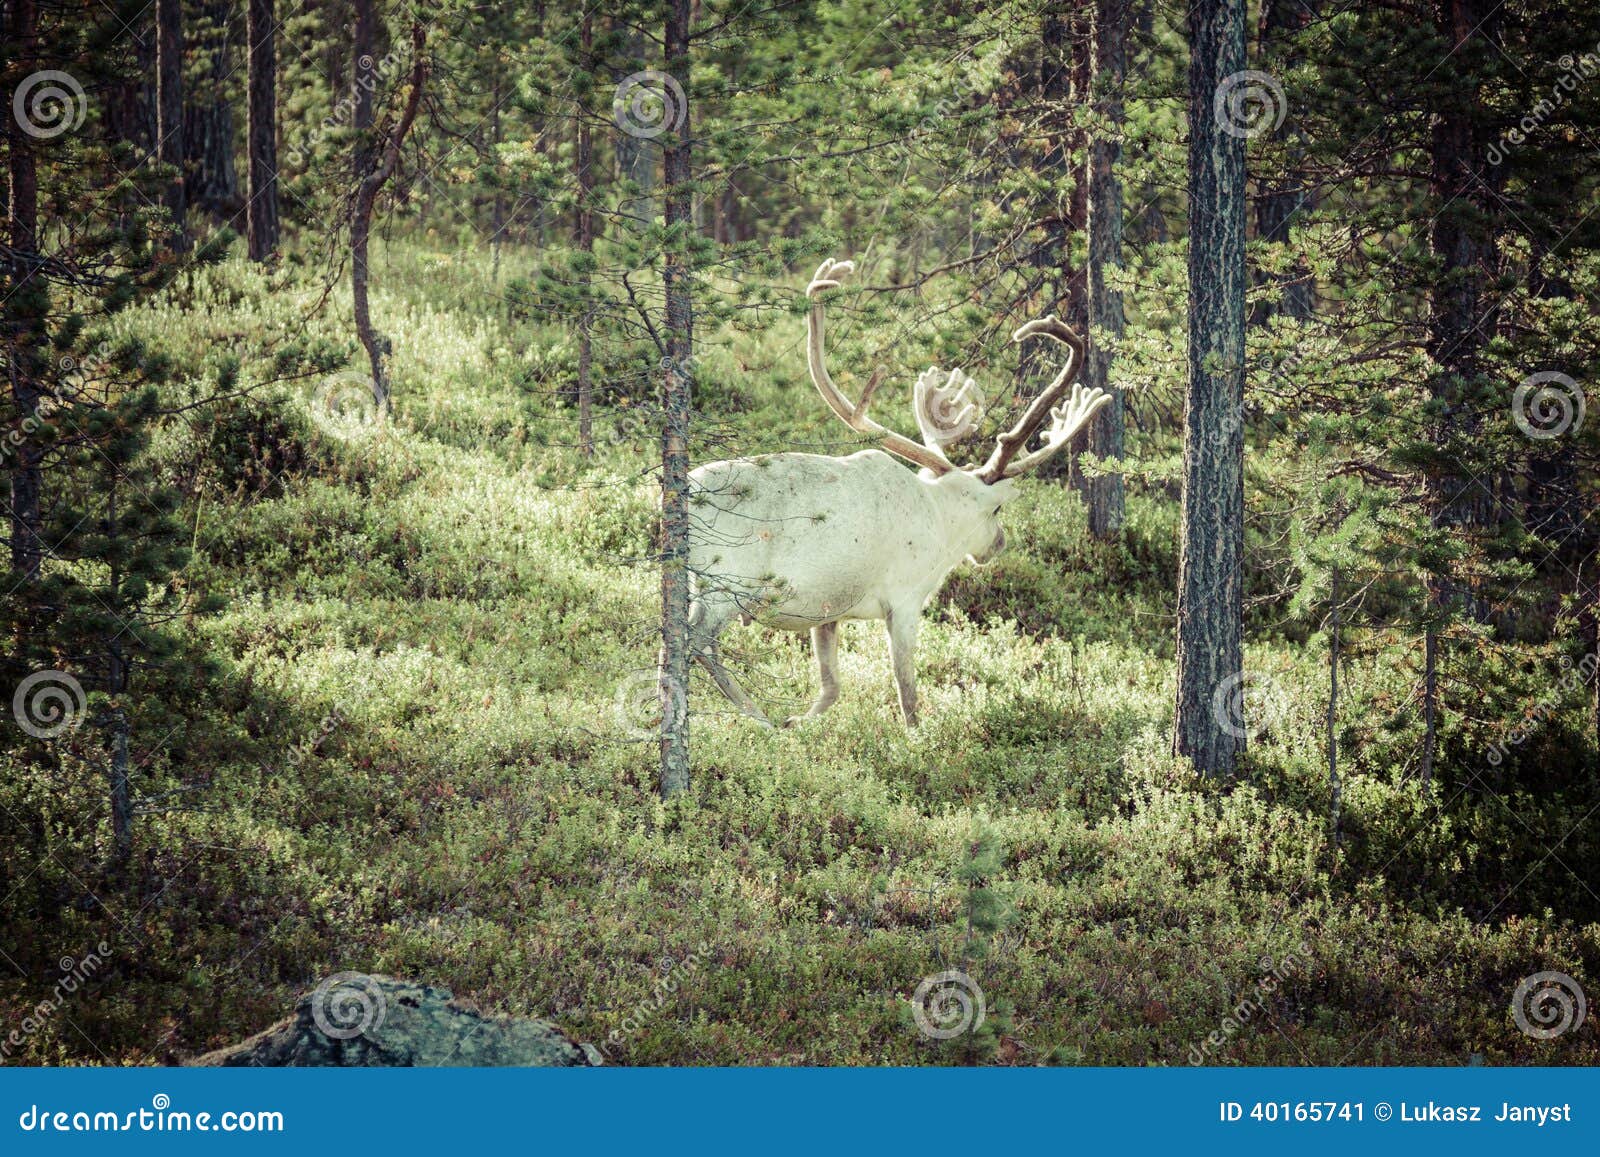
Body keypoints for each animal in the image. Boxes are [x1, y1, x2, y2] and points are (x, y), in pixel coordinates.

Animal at [684, 257, 1110, 729]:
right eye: (997, 510)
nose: (998, 545)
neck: (942, 520)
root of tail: (682, 495)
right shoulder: (905, 601)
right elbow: (908, 695)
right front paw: (916, 737)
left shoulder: (828, 609)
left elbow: (830, 687)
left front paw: (800, 721)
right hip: (727, 586)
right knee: (695, 641)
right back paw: (755, 717)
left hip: (701, 584)